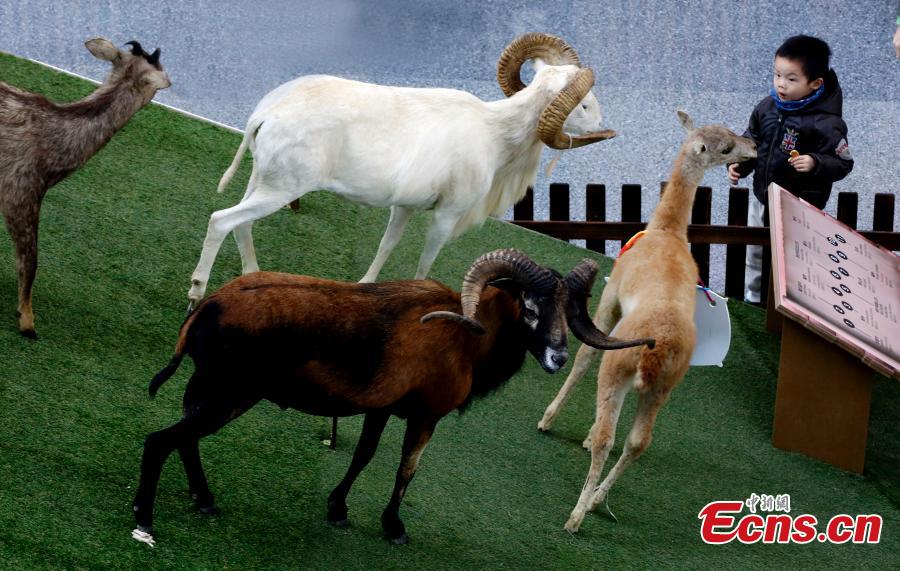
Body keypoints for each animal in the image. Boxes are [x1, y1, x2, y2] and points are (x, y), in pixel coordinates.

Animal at [132, 249, 653, 547]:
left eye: (568, 309)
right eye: (529, 307)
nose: (557, 357)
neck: (465, 337)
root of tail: (208, 309)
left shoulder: (381, 410)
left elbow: (363, 455)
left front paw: (338, 511)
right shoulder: (424, 417)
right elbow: (406, 470)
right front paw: (393, 528)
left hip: (211, 392)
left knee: (185, 440)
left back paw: (205, 501)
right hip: (231, 395)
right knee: (161, 441)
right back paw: (144, 522)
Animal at [186, 33, 616, 308]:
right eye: (583, 104)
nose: (601, 125)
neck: (494, 134)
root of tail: (266, 114)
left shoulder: (404, 208)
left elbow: (386, 246)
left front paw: (365, 287)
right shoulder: (445, 217)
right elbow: (426, 263)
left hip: (263, 183)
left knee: (242, 225)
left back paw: (252, 277)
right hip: (279, 191)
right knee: (221, 221)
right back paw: (196, 292)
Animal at [537, 112, 757, 533]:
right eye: (725, 142)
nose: (752, 146)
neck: (666, 231)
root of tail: (660, 351)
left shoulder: (610, 297)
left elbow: (584, 354)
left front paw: (547, 420)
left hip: (619, 369)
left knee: (608, 435)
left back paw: (576, 516)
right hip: (663, 388)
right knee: (638, 441)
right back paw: (596, 499)